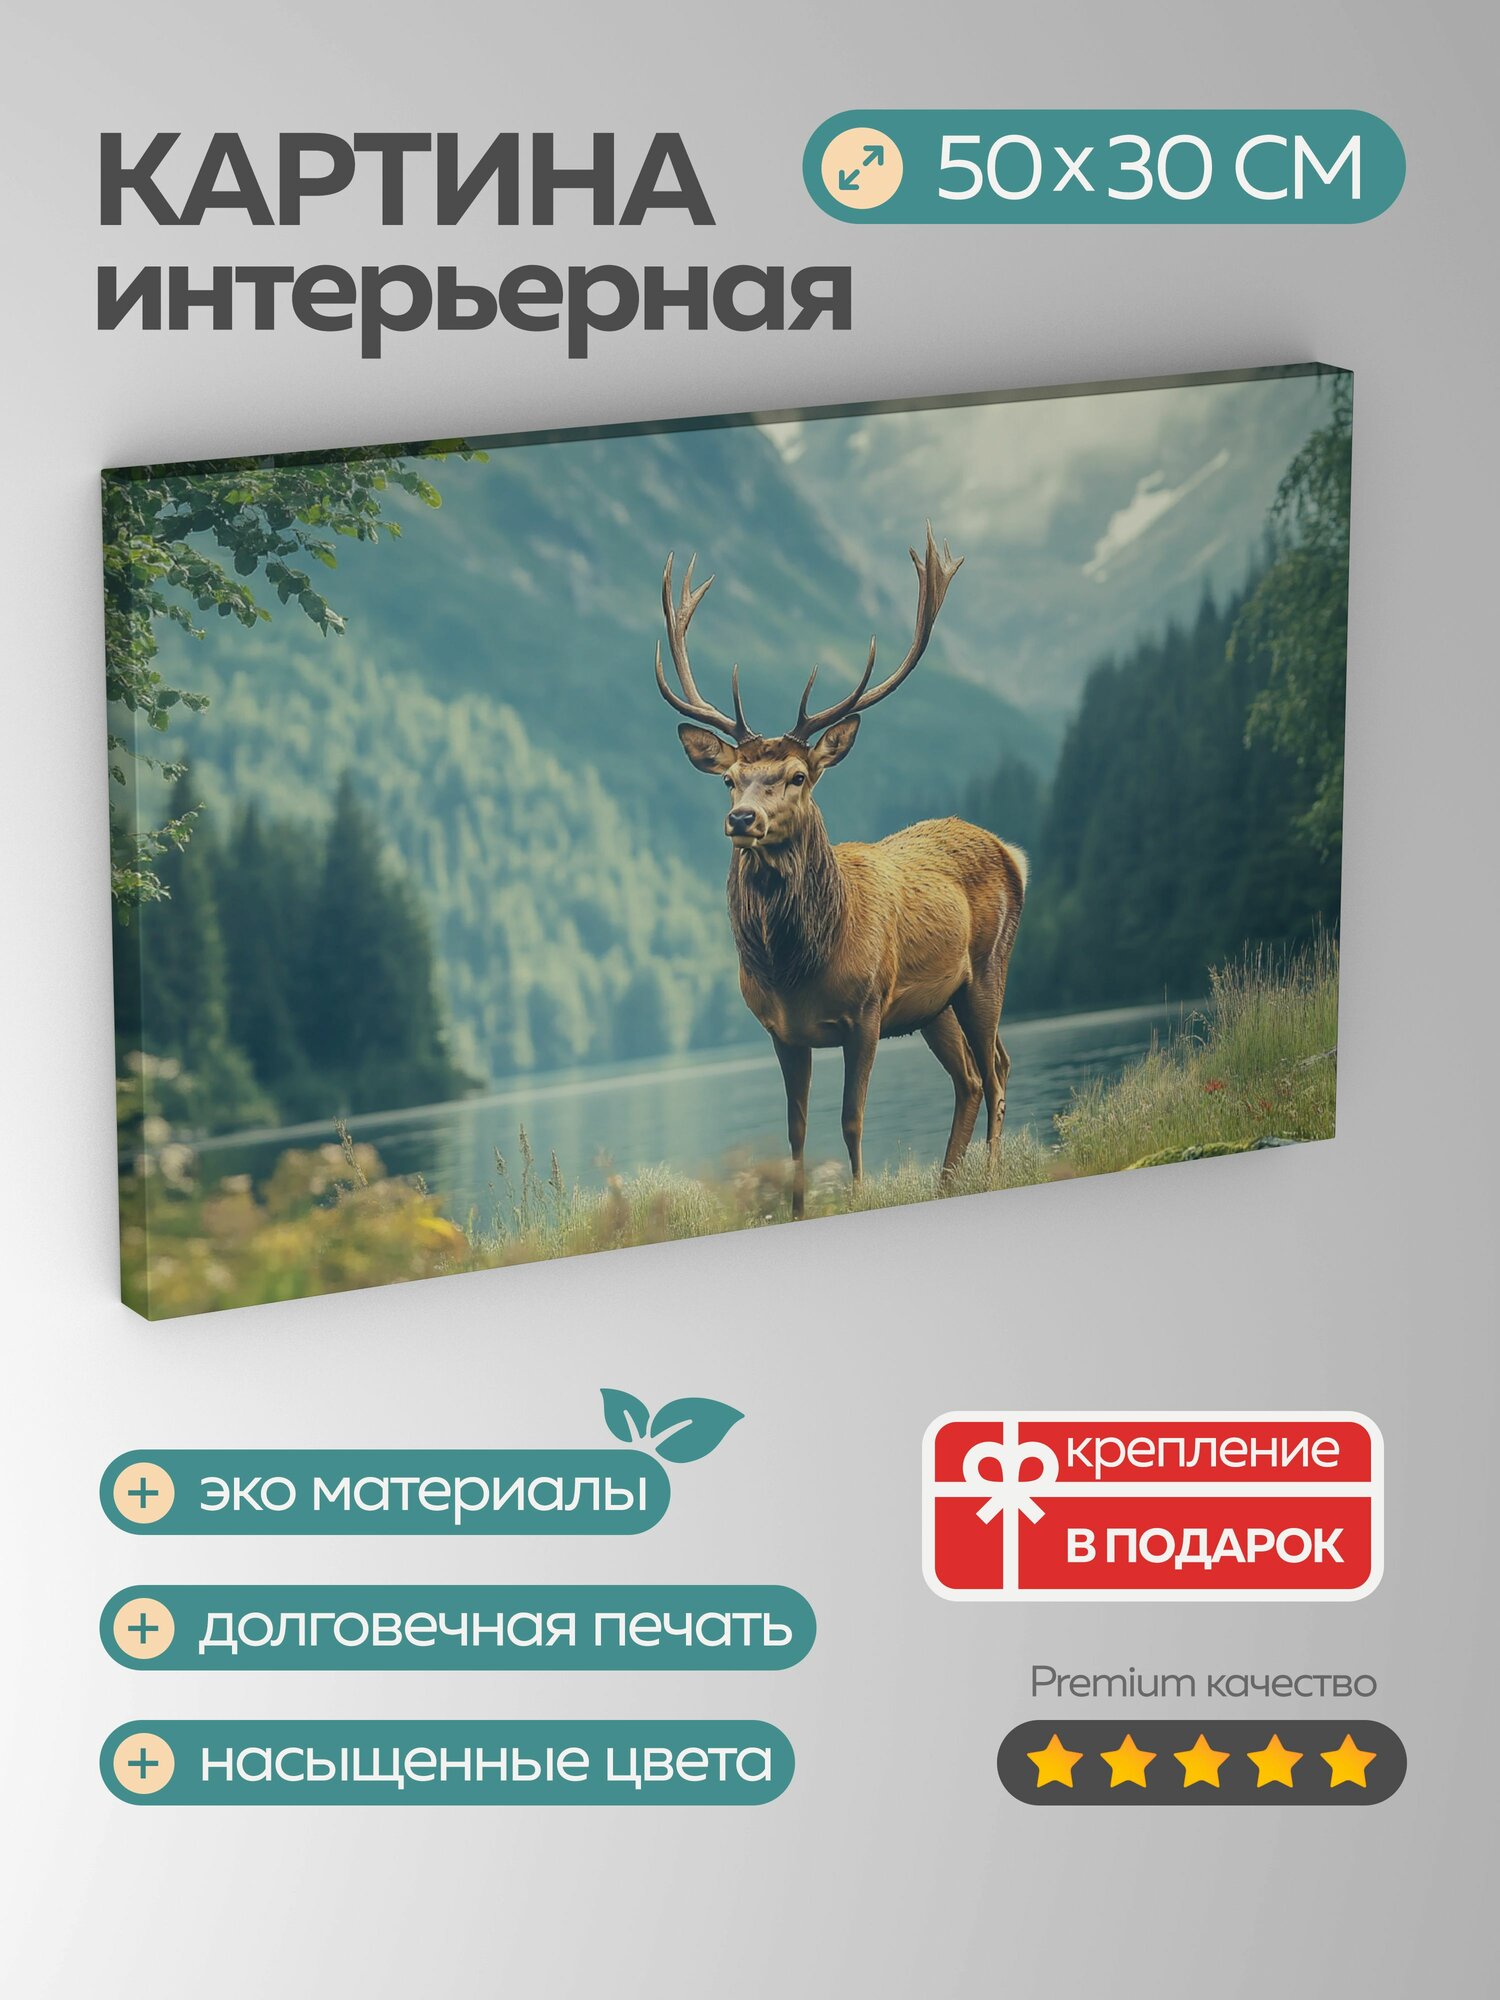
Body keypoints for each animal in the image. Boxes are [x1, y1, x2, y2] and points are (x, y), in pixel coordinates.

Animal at [653, 524, 1028, 1219]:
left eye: (798, 776)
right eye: (730, 778)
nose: (741, 819)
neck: (797, 966)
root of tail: (1009, 850)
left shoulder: (868, 1012)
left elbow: (853, 1120)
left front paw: (856, 1196)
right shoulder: (782, 1031)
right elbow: (797, 1129)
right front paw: (799, 1209)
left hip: (988, 966)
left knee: (996, 1069)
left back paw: (988, 1173)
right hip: (934, 1006)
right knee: (968, 1076)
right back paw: (945, 1182)